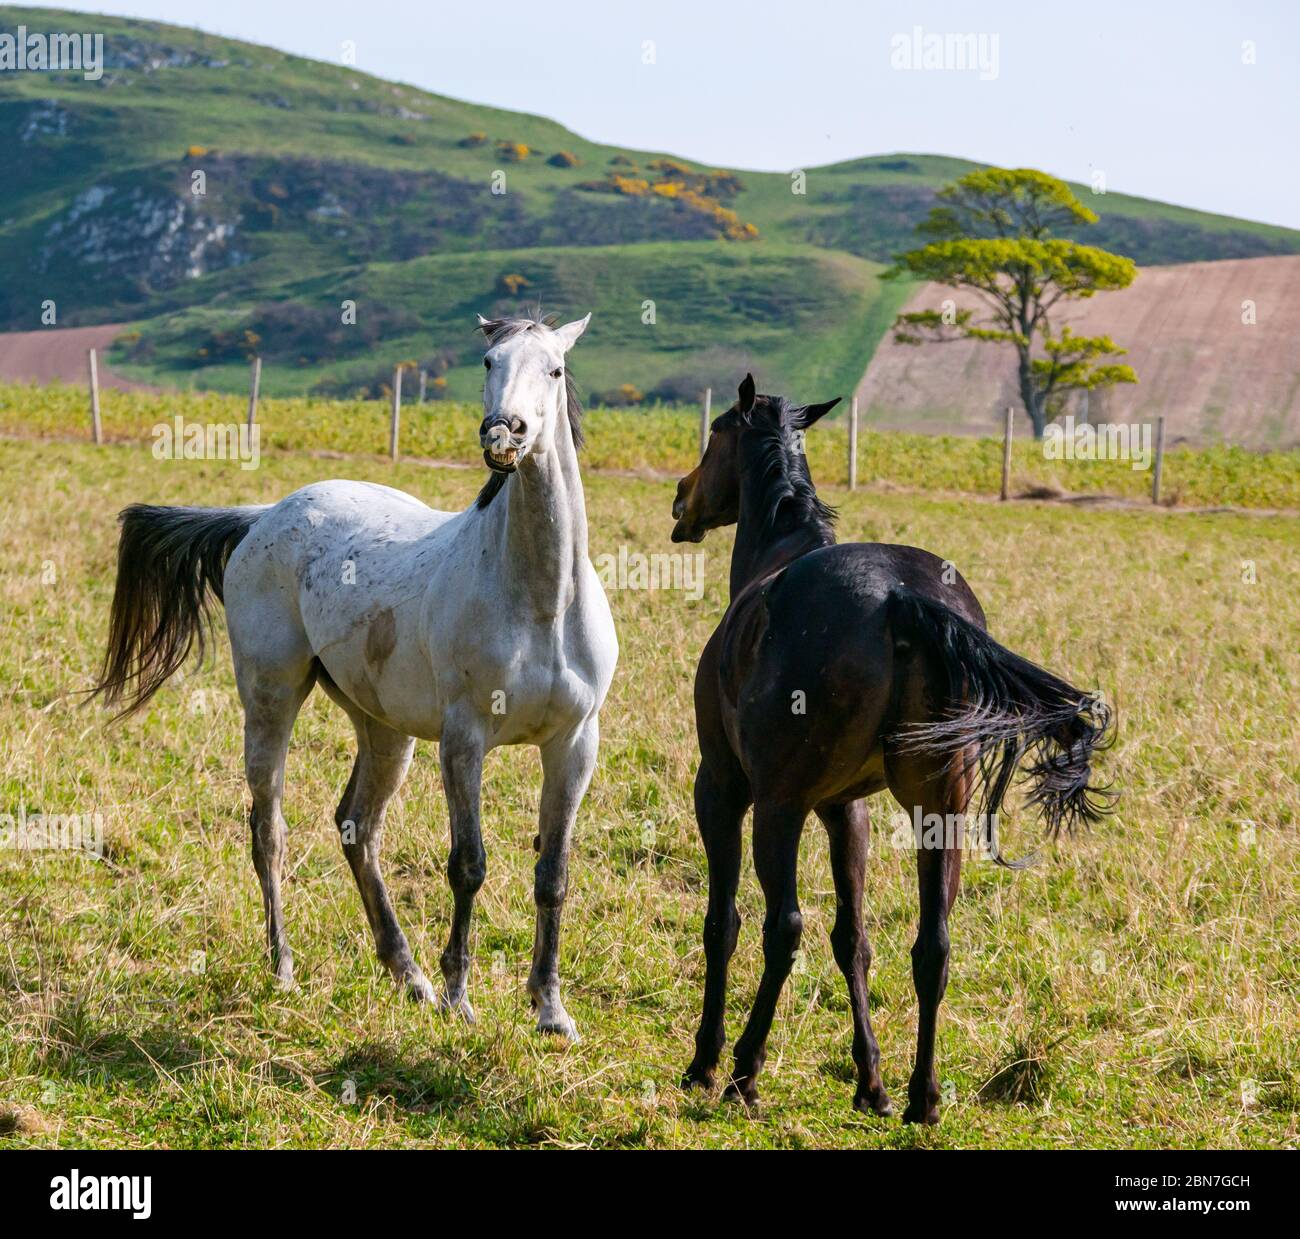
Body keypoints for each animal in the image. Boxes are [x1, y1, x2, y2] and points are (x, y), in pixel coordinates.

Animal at [93, 312, 618, 1042]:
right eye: (489, 360)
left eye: (555, 369)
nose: (503, 435)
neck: (539, 599)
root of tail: (262, 517)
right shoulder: (465, 741)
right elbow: (469, 864)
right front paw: (461, 999)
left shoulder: (573, 744)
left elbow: (554, 874)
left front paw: (549, 1009)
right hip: (271, 699)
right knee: (268, 828)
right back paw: (287, 967)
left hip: (383, 728)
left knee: (356, 828)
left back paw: (407, 974)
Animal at [670, 375, 1112, 1121]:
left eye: (718, 431)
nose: (681, 498)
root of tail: (901, 598)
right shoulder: (848, 810)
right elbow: (854, 938)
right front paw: (870, 1079)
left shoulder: (725, 789)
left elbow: (723, 921)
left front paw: (704, 1060)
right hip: (940, 812)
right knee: (933, 944)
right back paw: (920, 1097)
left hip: (777, 808)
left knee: (783, 926)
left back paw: (743, 1072)